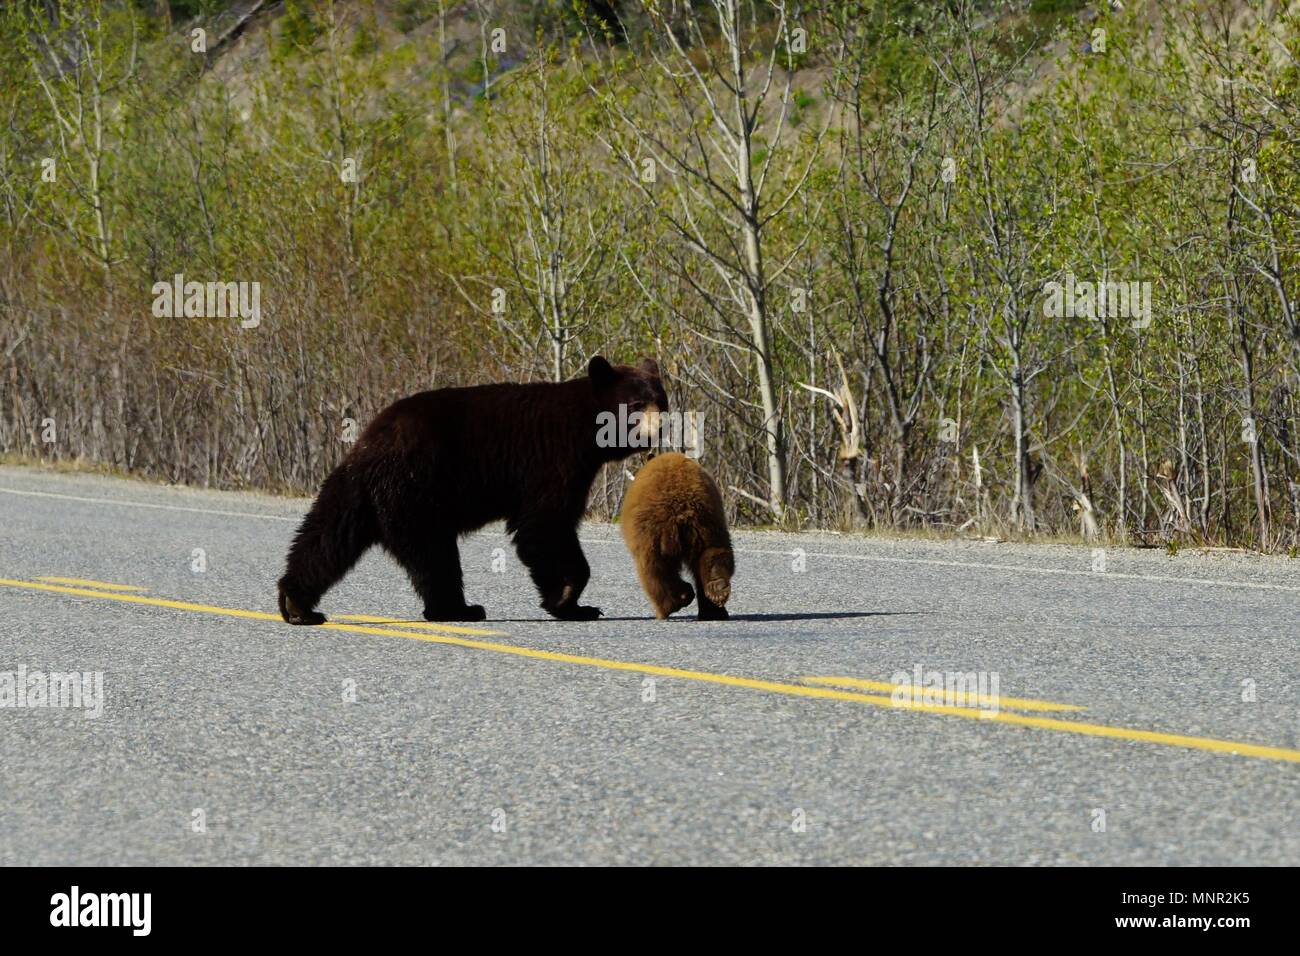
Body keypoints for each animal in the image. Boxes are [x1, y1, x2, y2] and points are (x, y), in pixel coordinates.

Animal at [277, 356, 668, 625]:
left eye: (661, 401)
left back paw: (297, 605)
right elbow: (543, 525)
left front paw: (574, 602)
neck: (585, 431)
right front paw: (569, 598)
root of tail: (369, 444)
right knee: (433, 555)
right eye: (636, 405)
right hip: (416, 491)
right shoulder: (552, 461)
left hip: (356, 495)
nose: (660, 428)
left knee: (325, 538)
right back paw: (457, 609)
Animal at [620, 452, 734, 620]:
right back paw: (717, 594)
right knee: (712, 553)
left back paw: (672, 604)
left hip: (653, 535)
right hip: (708, 526)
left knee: (655, 569)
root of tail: (682, 508)